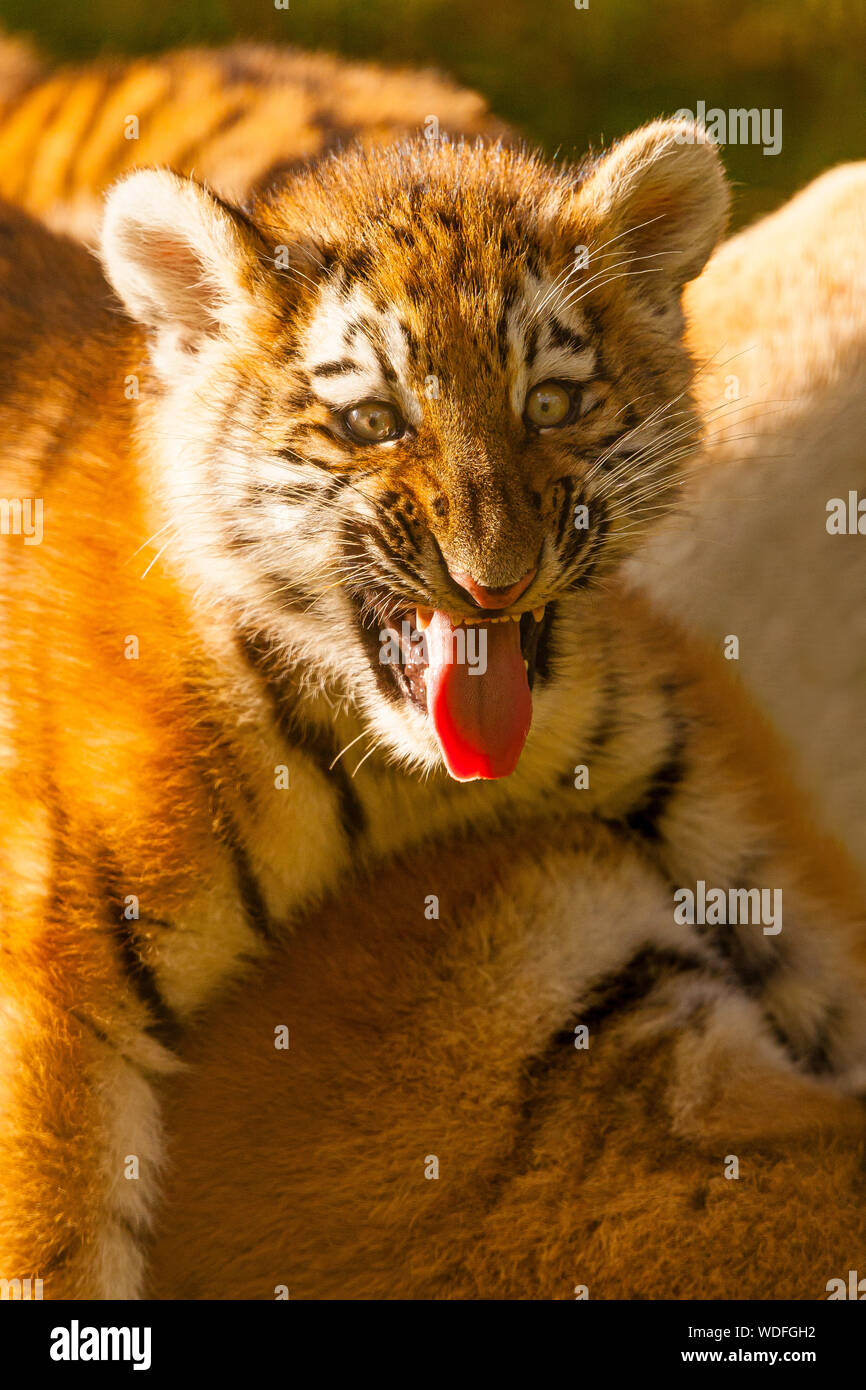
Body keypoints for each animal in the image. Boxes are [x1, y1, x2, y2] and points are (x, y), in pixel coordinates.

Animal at [2, 112, 866, 1302]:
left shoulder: (661, 741)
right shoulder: (56, 972)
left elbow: (802, 919)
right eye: (374, 420)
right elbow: (52, 1220)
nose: (492, 582)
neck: (393, 770)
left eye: (549, 403)